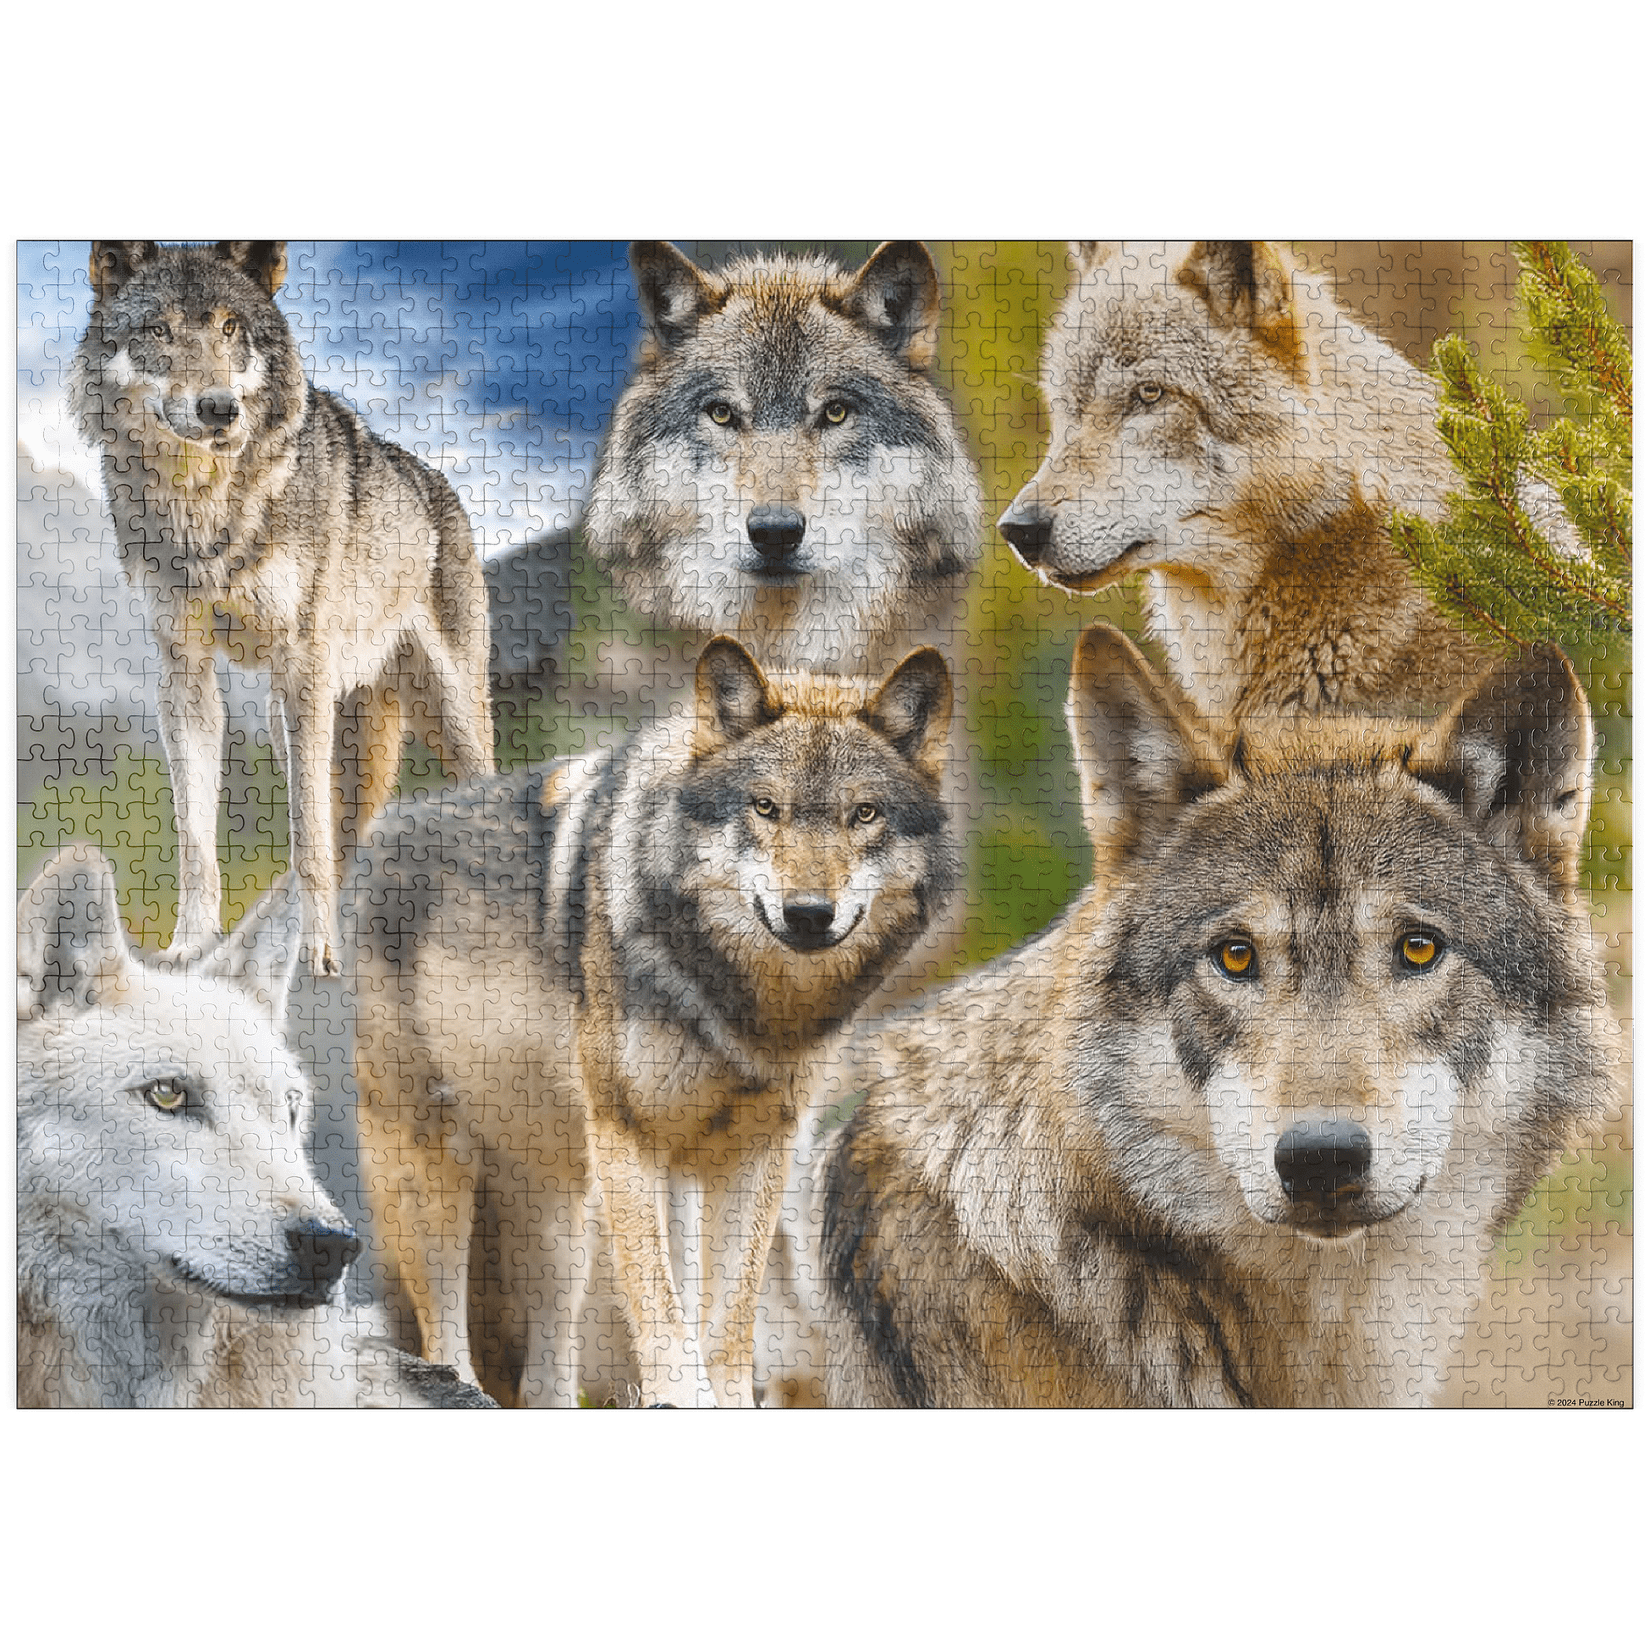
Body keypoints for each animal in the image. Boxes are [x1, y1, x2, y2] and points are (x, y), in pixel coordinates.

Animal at [69, 239, 495, 977]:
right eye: (159, 331)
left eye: (230, 327)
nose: (218, 409)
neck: (206, 509)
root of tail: (436, 481)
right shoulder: (185, 672)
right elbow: (196, 836)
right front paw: (191, 945)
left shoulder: (301, 670)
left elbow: (305, 836)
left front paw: (315, 950)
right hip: (294, 718)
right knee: (347, 831)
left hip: (443, 713)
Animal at [347, 636, 957, 1406]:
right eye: (766, 807)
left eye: (866, 814)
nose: (808, 914)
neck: (746, 1006)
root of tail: (376, 837)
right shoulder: (628, 1136)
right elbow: (659, 1300)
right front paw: (680, 1393)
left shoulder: (756, 1151)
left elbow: (728, 1317)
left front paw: (725, 1398)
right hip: (435, 1167)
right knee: (444, 1332)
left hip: (567, 1214)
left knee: (548, 1367)